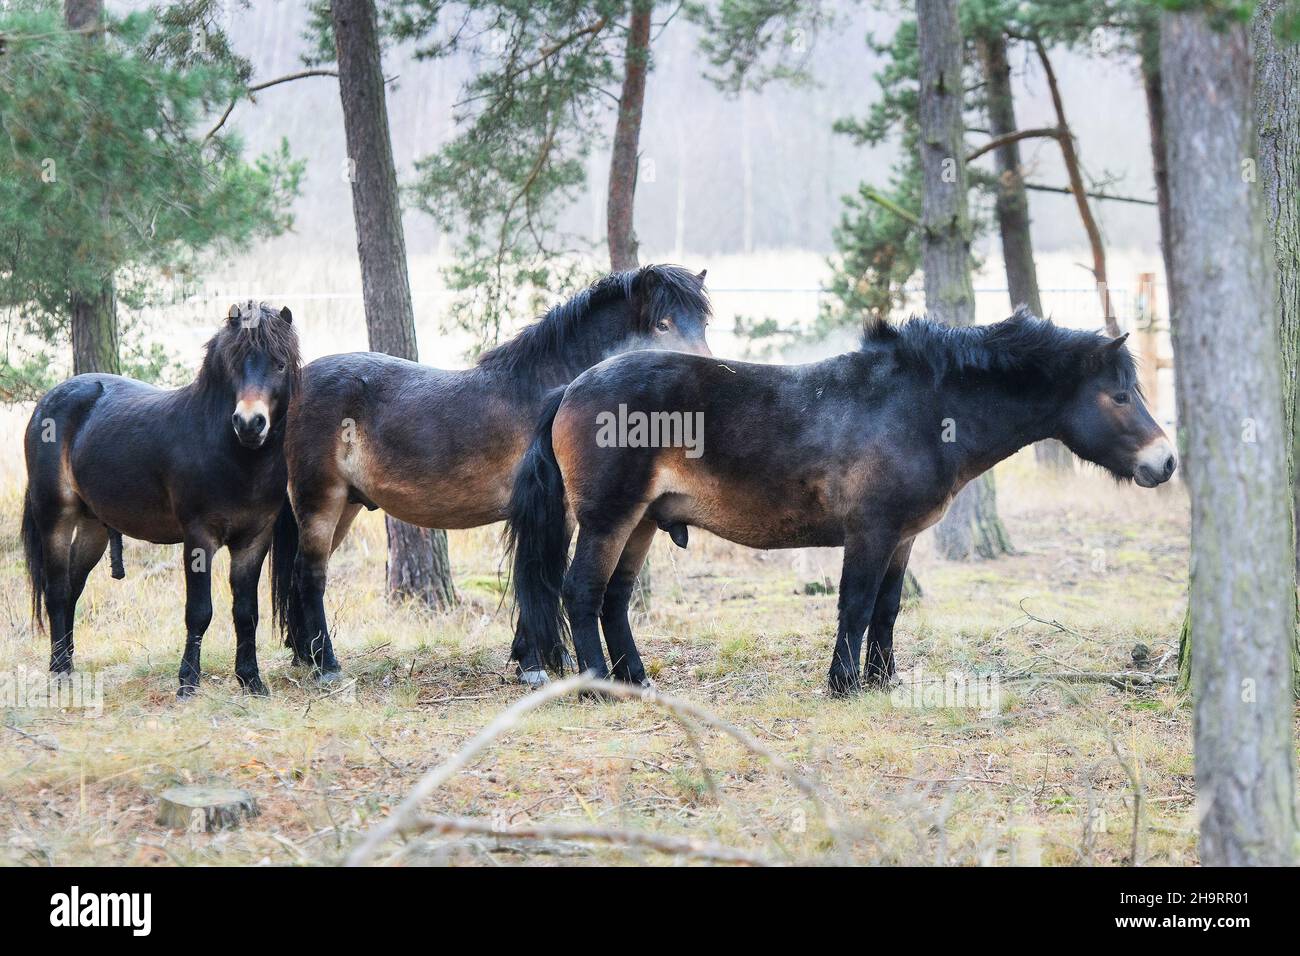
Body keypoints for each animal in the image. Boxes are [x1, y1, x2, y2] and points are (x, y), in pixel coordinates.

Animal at [21, 302, 300, 698]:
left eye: (279, 364)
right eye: (235, 363)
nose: (249, 423)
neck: (236, 458)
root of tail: (49, 400)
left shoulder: (254, 540)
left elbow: (246, 612)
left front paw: (251, 680)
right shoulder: (199, 537)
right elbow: (199, 611)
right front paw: (187, 682)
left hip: (93, 527)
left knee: (73, 589)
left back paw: (69, 666)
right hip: (55, 518)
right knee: (57, 591)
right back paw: (59, 670)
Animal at [270, 263, 712, 686]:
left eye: (703, 323)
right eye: (663, 324)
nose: (704, 373)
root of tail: (296, 384)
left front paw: (528, 663)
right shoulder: (545, 514)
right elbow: (536, 577)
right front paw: (534, 667)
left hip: (344, 506)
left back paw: (306, 658)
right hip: (320, 501)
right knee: (310, 577)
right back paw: (327, 667)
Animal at [506, 308, 1178, 696]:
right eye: (1119, 395)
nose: (1166, 461)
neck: (920, 408)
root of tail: (571, 387)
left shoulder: (902, 537)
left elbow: (887, 609)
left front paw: (882, 679)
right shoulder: (871, 532)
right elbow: (853, 605)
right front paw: (845, 682)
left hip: (643, 522)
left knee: (614, 599)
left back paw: (637, 679)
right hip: (608, 519)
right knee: (581, 593)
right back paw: (599, 684)